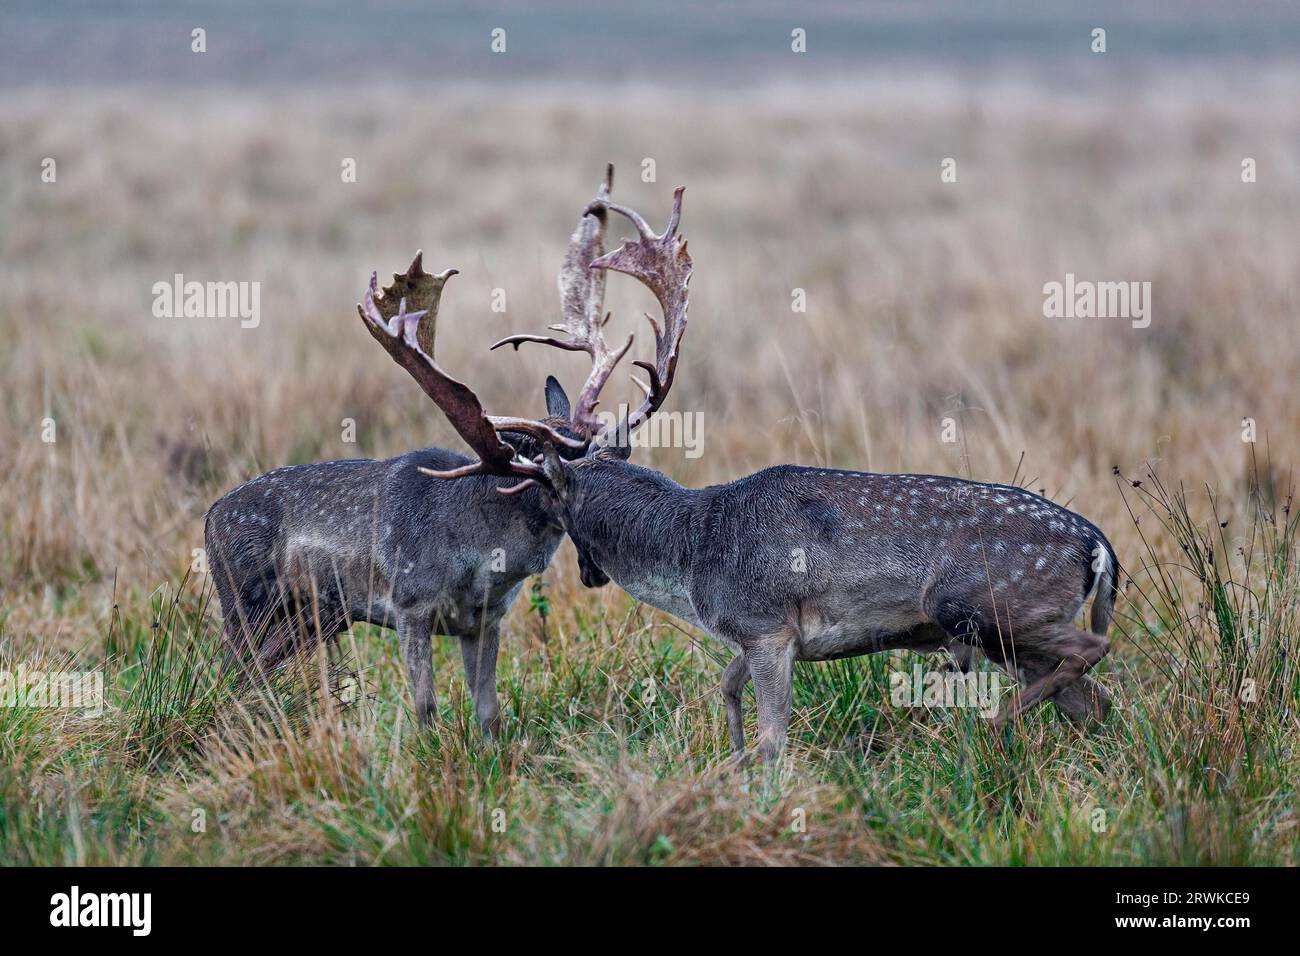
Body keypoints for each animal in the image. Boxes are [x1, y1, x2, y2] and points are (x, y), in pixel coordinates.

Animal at [204, 169, 629, 734]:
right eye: (559, 479)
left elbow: (488, 712)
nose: (597, 570)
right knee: (226, 673)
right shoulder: (410, 607)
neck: (482, 555)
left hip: (306, 620)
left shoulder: (483, 620)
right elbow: (425, 708)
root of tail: (208, 519)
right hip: (246, 605)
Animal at [361, 177, 1119, 763]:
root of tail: (1099, 546)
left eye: (554, 499)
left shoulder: (767, 626)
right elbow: (726, 692)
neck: (694, 554)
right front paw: (726, 758)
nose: (589, 574)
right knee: (1096, 701)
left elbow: (773, 739)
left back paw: (993, 725)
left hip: (986, 603)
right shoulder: (754, 636)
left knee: (1090, 652)